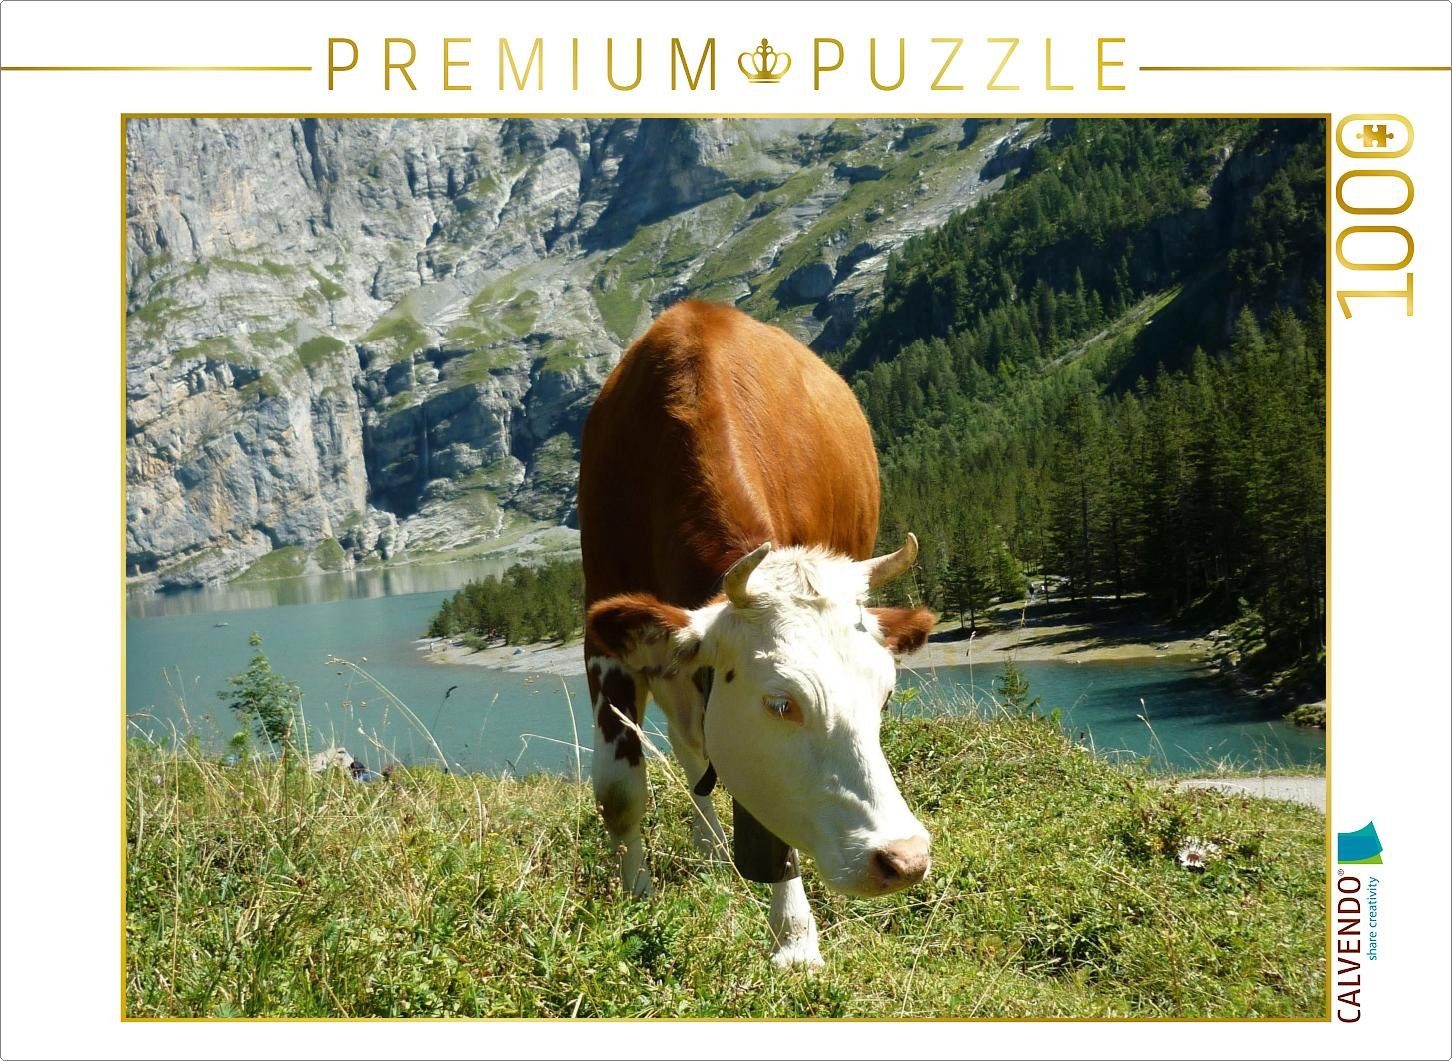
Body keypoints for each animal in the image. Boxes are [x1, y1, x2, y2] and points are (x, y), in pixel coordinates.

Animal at [578, 300, 936, 967]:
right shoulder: (605, 633)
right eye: (780, 703)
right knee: (691, 745)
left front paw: (795, 937)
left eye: (885, 697)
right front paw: (635, 900)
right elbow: (619, 791)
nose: (903, 859)